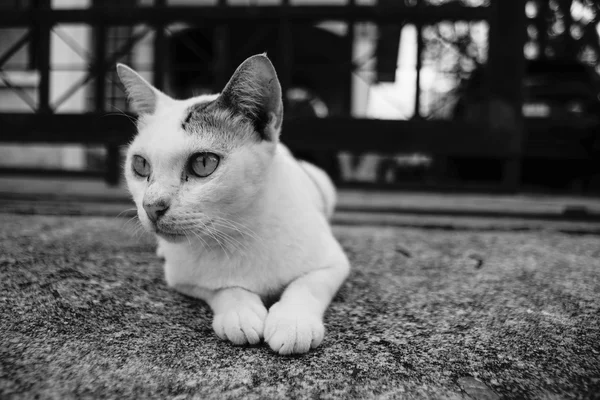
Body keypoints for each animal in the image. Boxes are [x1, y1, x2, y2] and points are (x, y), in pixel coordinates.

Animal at [116, 54, 350, 356]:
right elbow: (222, 288)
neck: (238, 232)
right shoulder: (182, 278)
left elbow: (307, 284)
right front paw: (239, 312)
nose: (151, 206)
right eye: (140, 165)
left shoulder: (333, 263)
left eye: (203, 163)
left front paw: (293, 321)